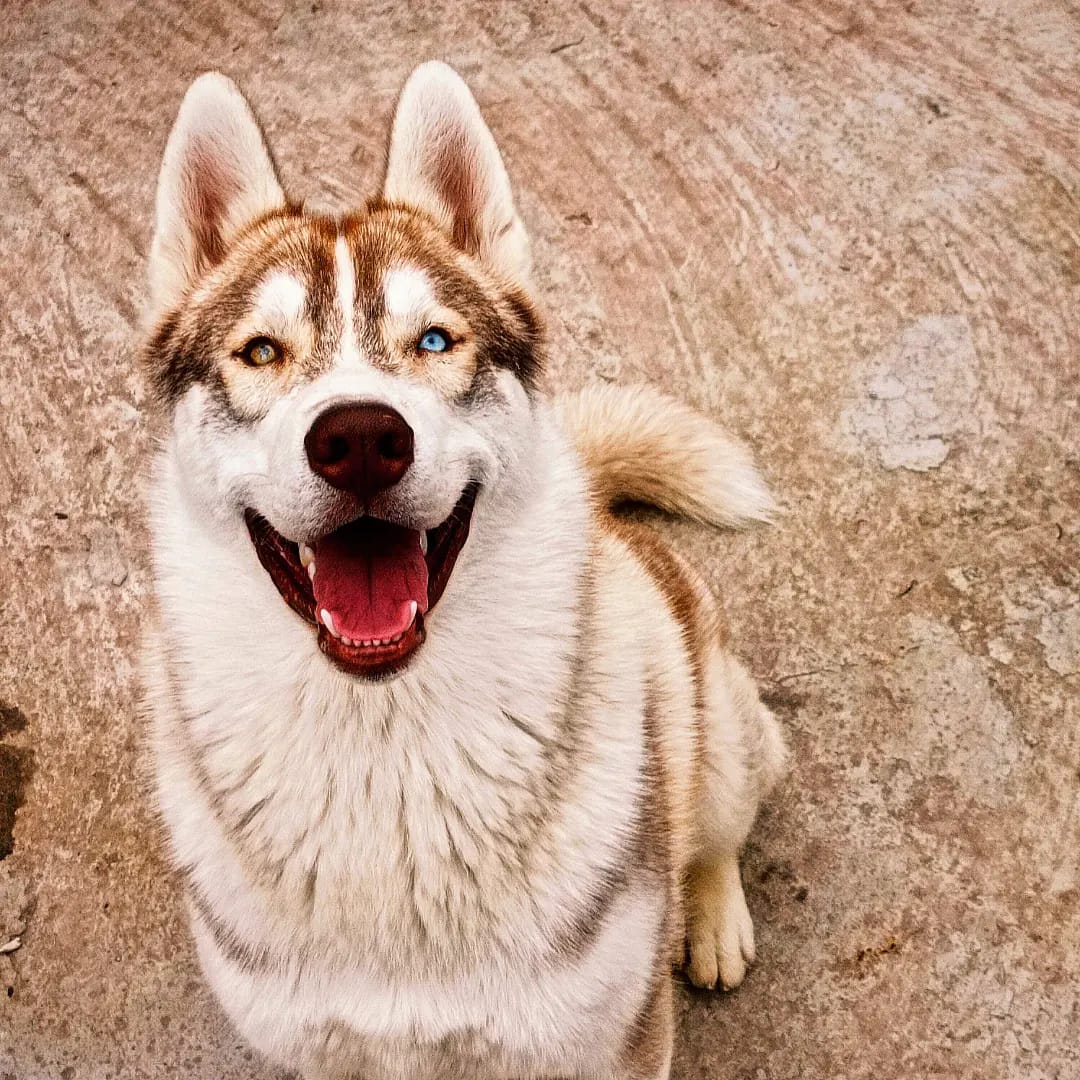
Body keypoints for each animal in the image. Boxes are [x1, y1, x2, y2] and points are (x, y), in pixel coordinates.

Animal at [141, 61, 787, 1080]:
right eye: (261, 352)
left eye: (436, 341)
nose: (361, 438)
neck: (385, 751)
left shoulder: (612, 1040)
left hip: (714, 728)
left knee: (717, 822)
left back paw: (712, 919)